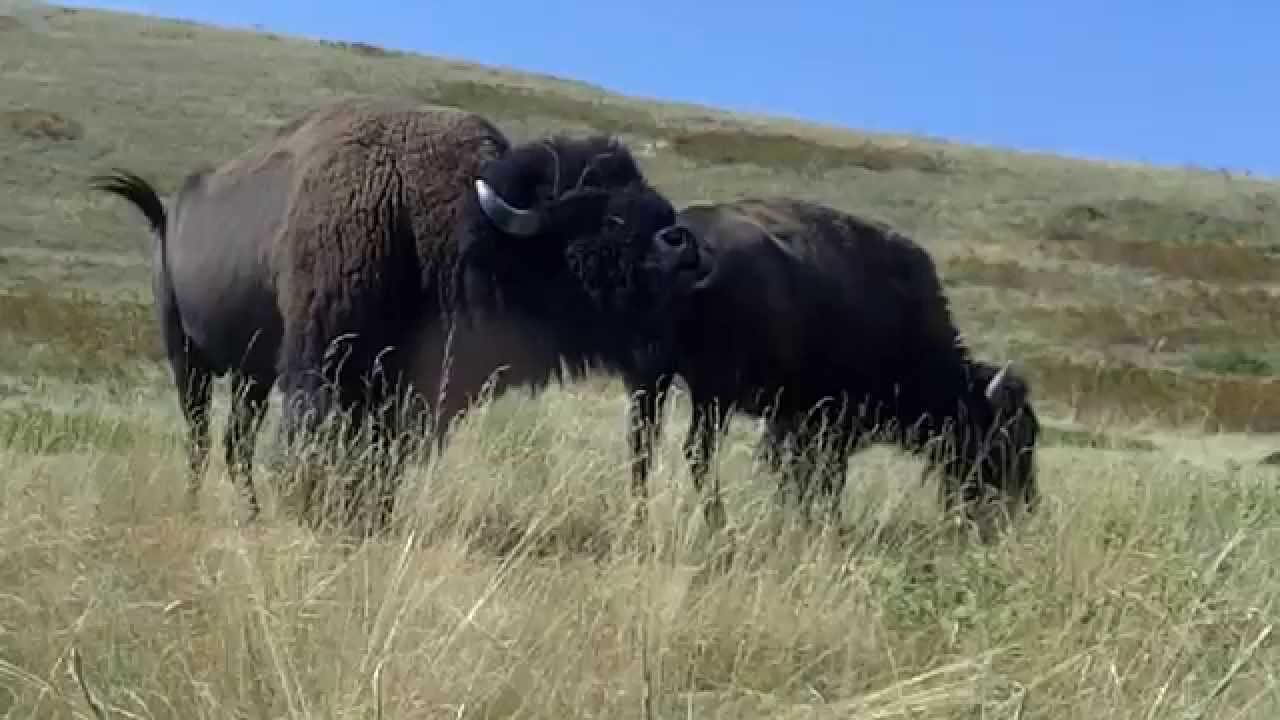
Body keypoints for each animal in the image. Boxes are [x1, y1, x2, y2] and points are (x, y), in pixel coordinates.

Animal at [93, 95, 704, 536]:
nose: (683, 246)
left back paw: (251, 511)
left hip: (252, 375)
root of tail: (167, 216)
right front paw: (316, 510)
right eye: (606, 217)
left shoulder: (406, 392)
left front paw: (368, 516)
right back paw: (203, 505)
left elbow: (383, 457)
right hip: (188, 359)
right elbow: (319, 441)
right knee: (201, 436)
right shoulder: (322, 368)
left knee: (234, 442)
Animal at [626, 197, 1040, 533]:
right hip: (712, 390)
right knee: (696, 452)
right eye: (1007, 435)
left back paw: (640, 522)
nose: (1024, 504)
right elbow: (823, 480)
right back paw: (719, 527)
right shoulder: (829, 425)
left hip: (650, 378)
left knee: (642, 445)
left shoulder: (789, 421)